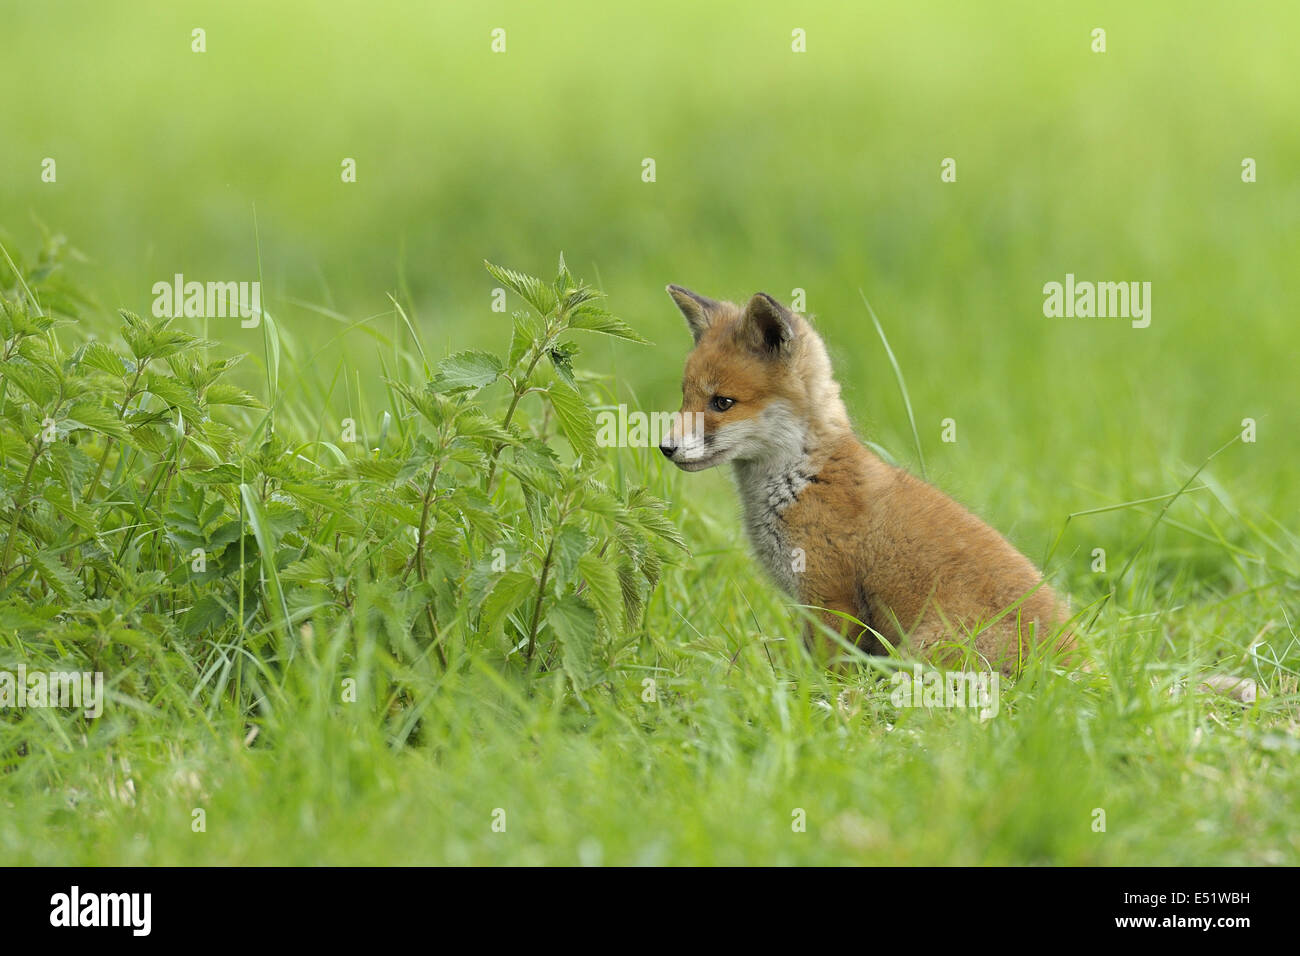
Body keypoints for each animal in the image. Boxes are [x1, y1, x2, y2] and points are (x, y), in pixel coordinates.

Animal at [659, 285, 1073, 675]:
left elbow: (828, 673)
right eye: (685, 397)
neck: (802, 481)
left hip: (919, 653)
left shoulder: (831, 597)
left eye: (722, 402)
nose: (665, 447)